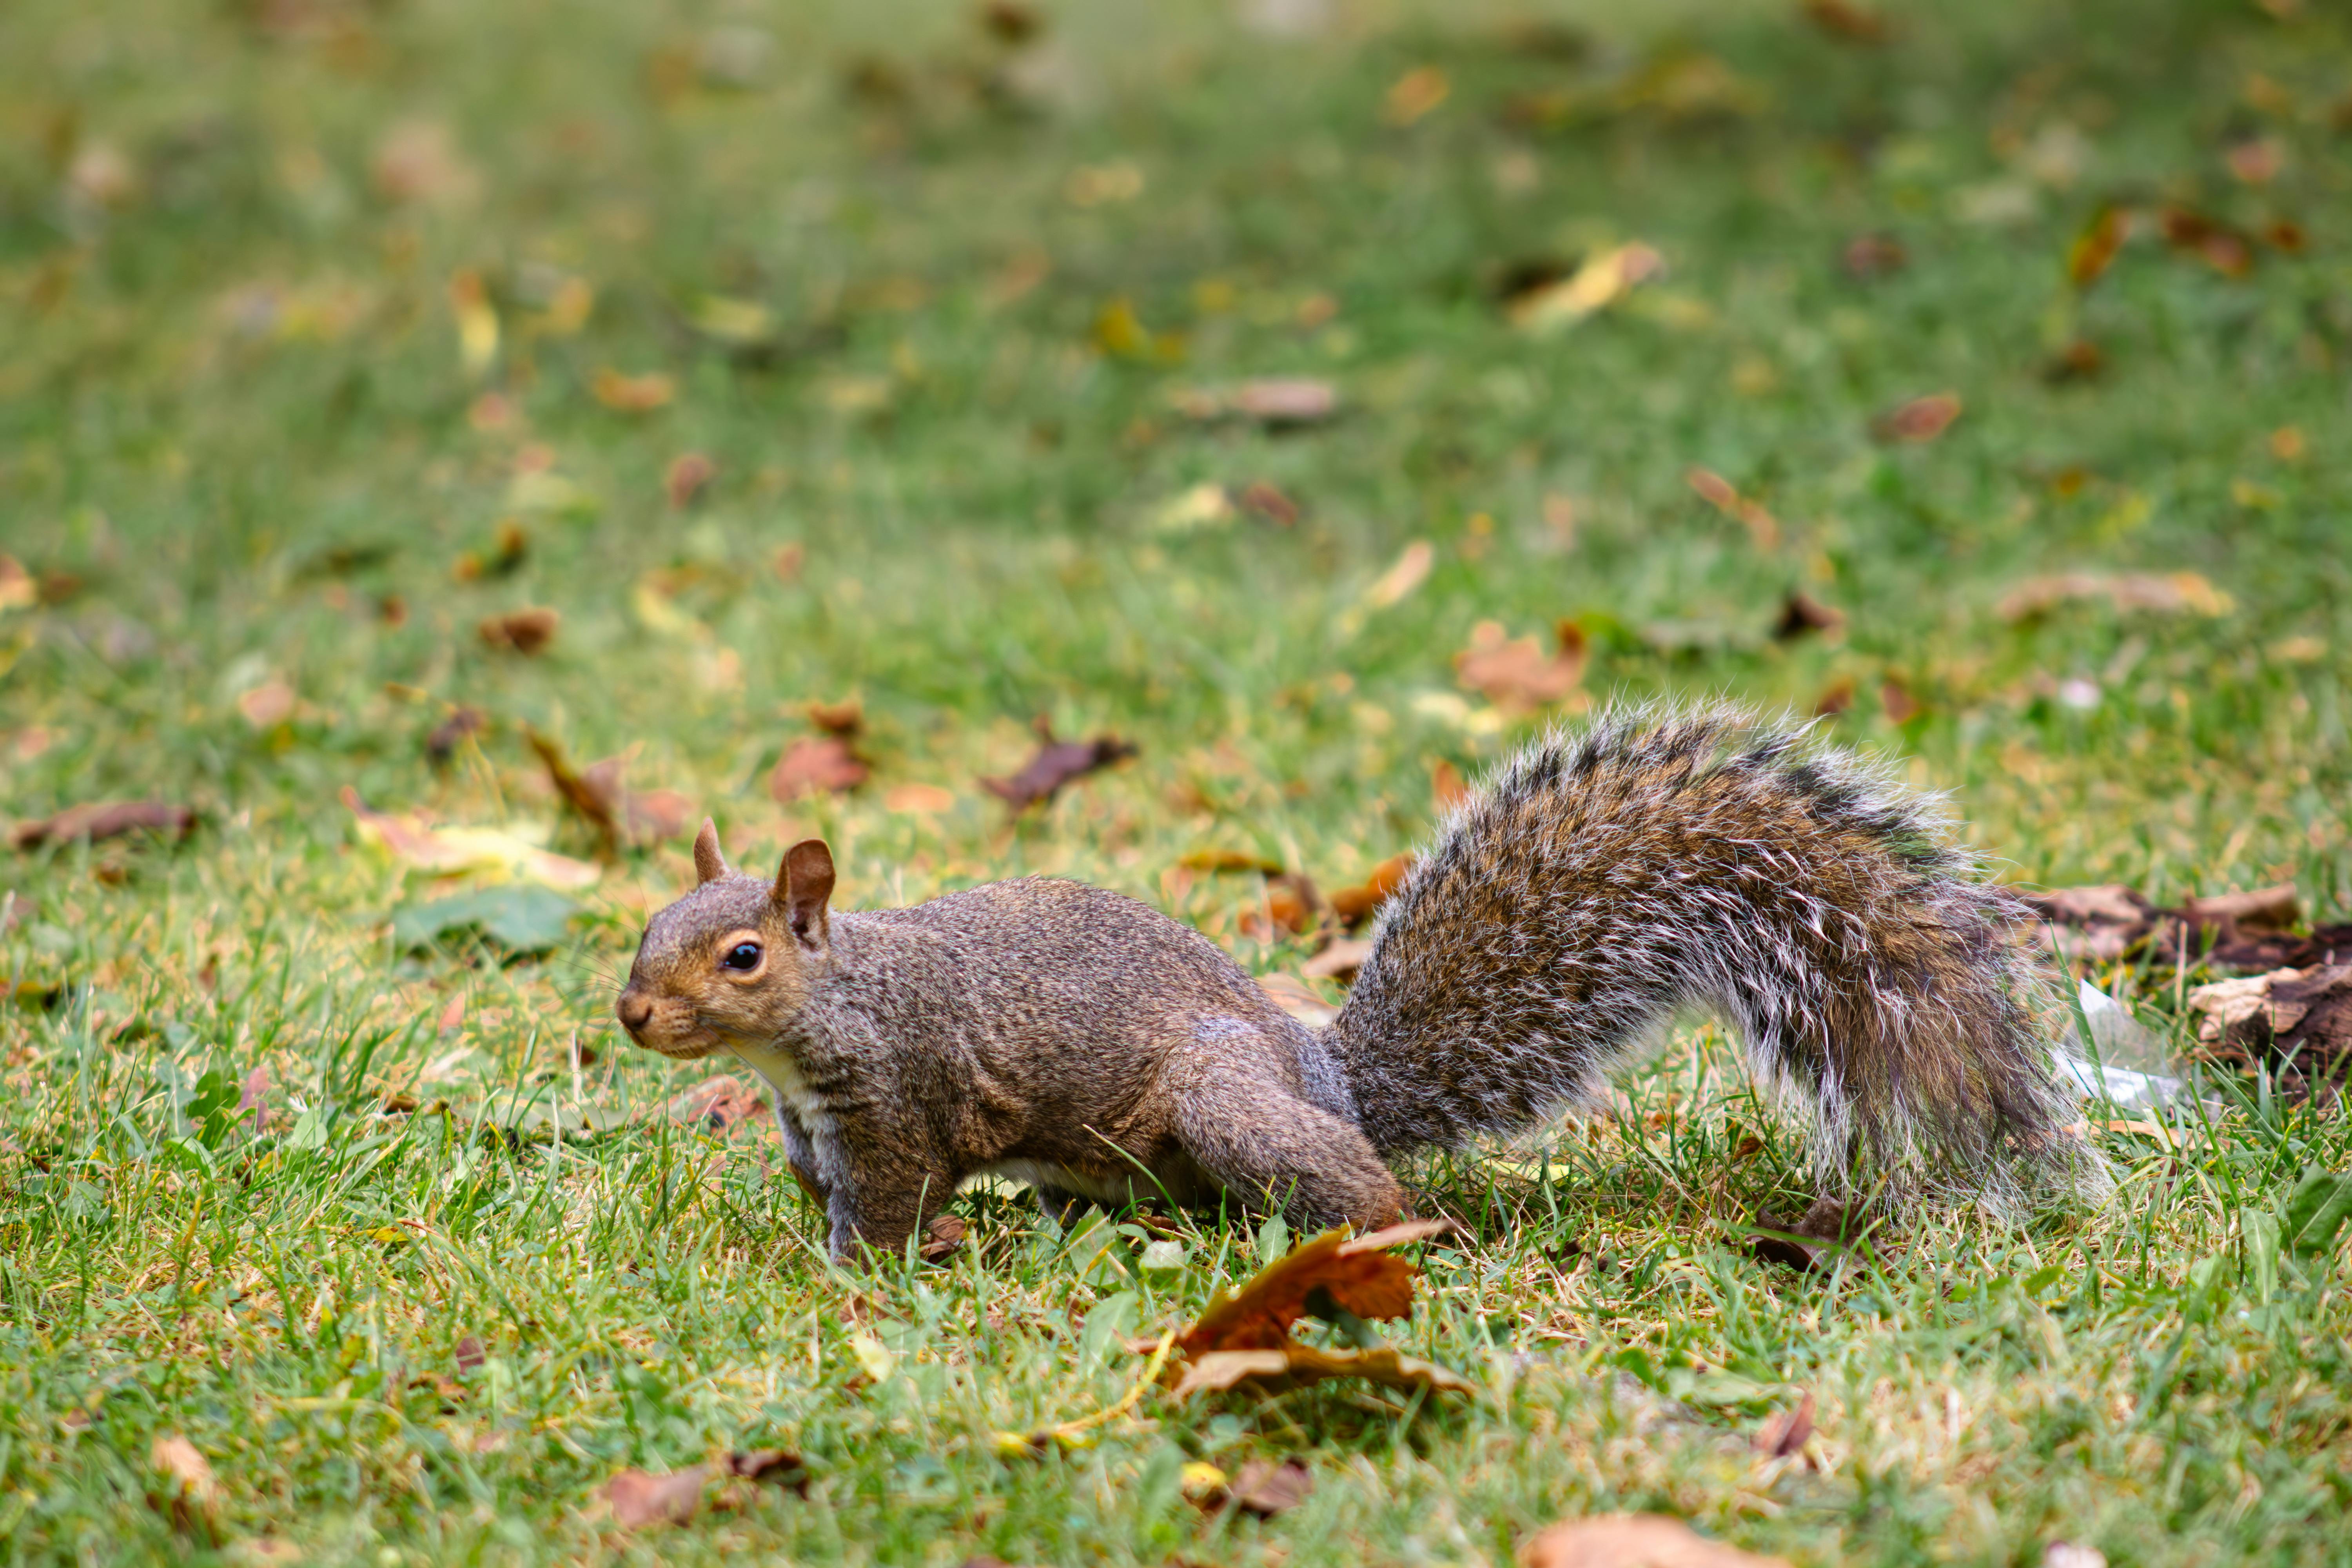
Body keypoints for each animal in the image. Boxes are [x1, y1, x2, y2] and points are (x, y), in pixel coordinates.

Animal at [616, 703, 2106, 1260]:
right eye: (646, 927)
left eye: (742, 955)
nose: (632, 1014)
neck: (826, 1013)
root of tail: (1322, 1075)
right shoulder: (812, 1120)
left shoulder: (904, 1099)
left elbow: (895, 1198)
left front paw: (855, 1272)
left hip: (1220, 1103)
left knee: (1363, 1185)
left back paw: (1378, 1235)